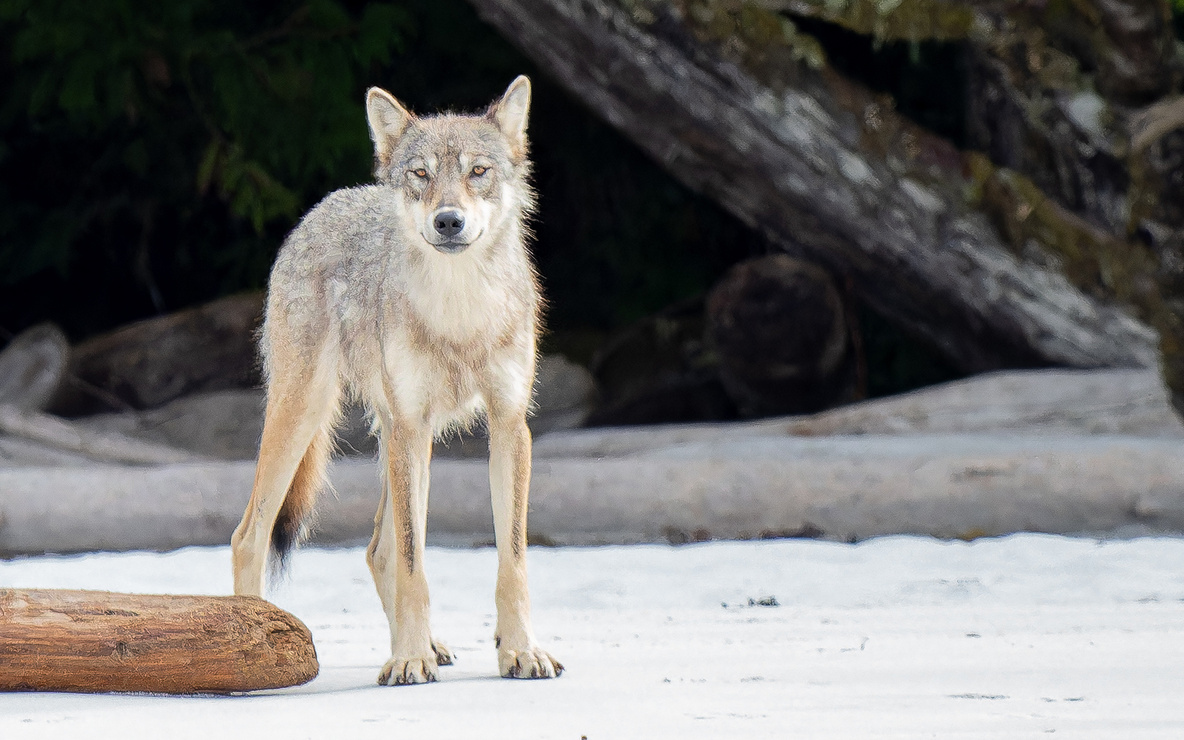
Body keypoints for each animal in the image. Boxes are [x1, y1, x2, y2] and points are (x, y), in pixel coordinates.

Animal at [230, 76, 563, 685]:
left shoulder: (509, 425)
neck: (459, 315)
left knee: (377, 550)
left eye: (478, 171)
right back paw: (245, 642)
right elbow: (413, 563)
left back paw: (431, 645)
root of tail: (327, 203)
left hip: (410, 442)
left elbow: (512, 561)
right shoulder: (411, 423)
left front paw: (520, 650)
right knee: (251, 536)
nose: (448, 221)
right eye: (421, 174)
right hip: (310, 416)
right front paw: (408, 659)